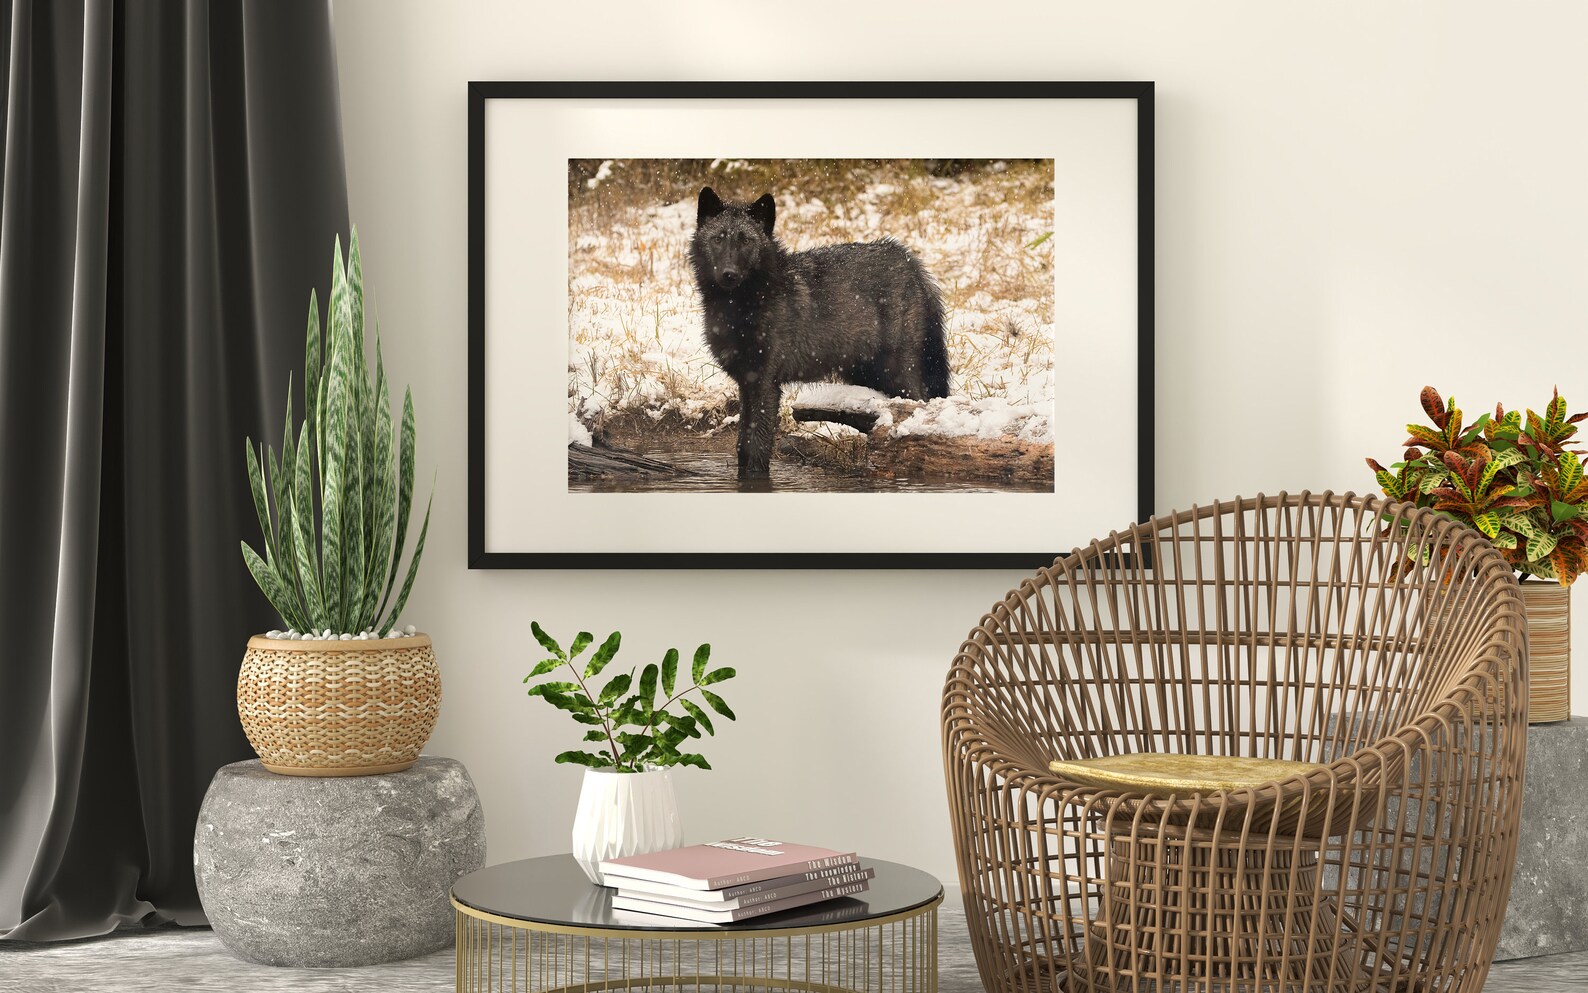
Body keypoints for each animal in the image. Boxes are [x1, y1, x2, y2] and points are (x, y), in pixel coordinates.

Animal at [689, 186, 950, 479]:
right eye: (718, 239)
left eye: (746, 241)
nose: (729, 274)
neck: (739, 308)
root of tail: (911, 262)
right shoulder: (746, 382)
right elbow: (742, 446)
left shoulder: (766, 384)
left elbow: (757, 447)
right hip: (867, 374)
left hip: (898, 374)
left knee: (918, 405)